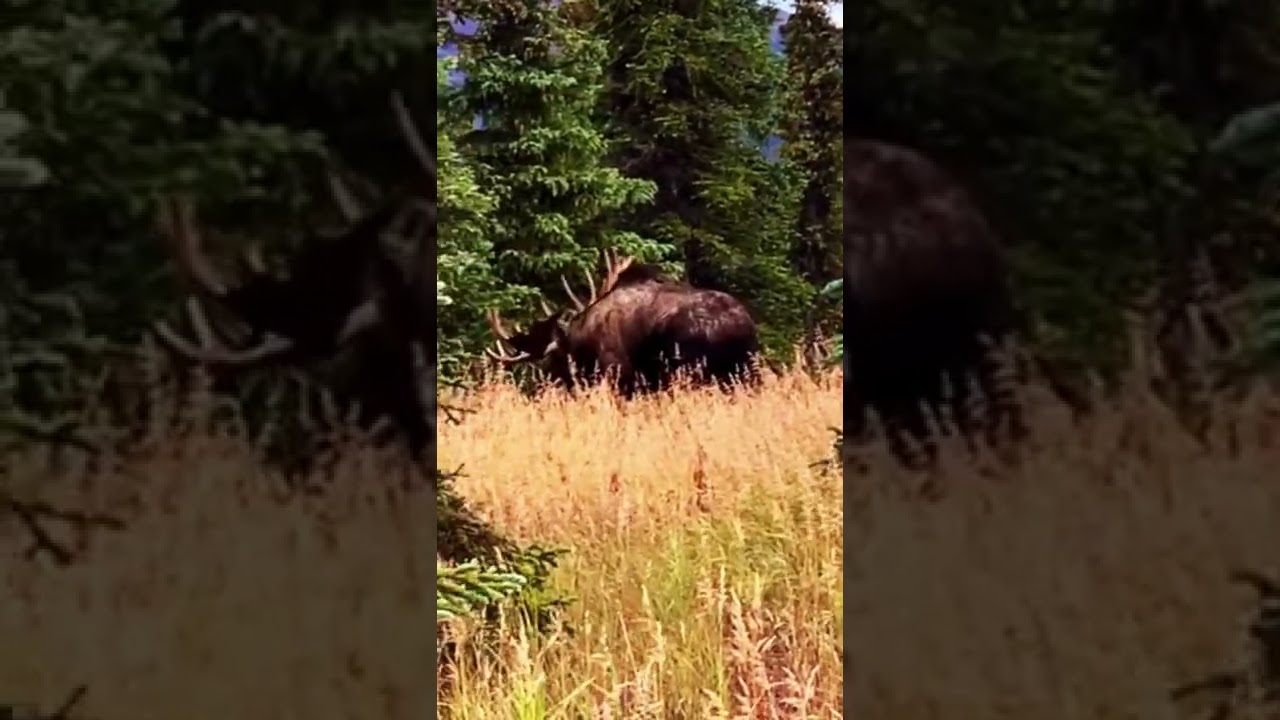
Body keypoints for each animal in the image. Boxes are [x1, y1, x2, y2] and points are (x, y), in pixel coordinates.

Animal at [486, 252, 762, 396]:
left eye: (555, 358)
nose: (551, 382)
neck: (582, 342)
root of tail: (741, 326)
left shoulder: (618, 375)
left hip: (694, 370)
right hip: (747, 368)